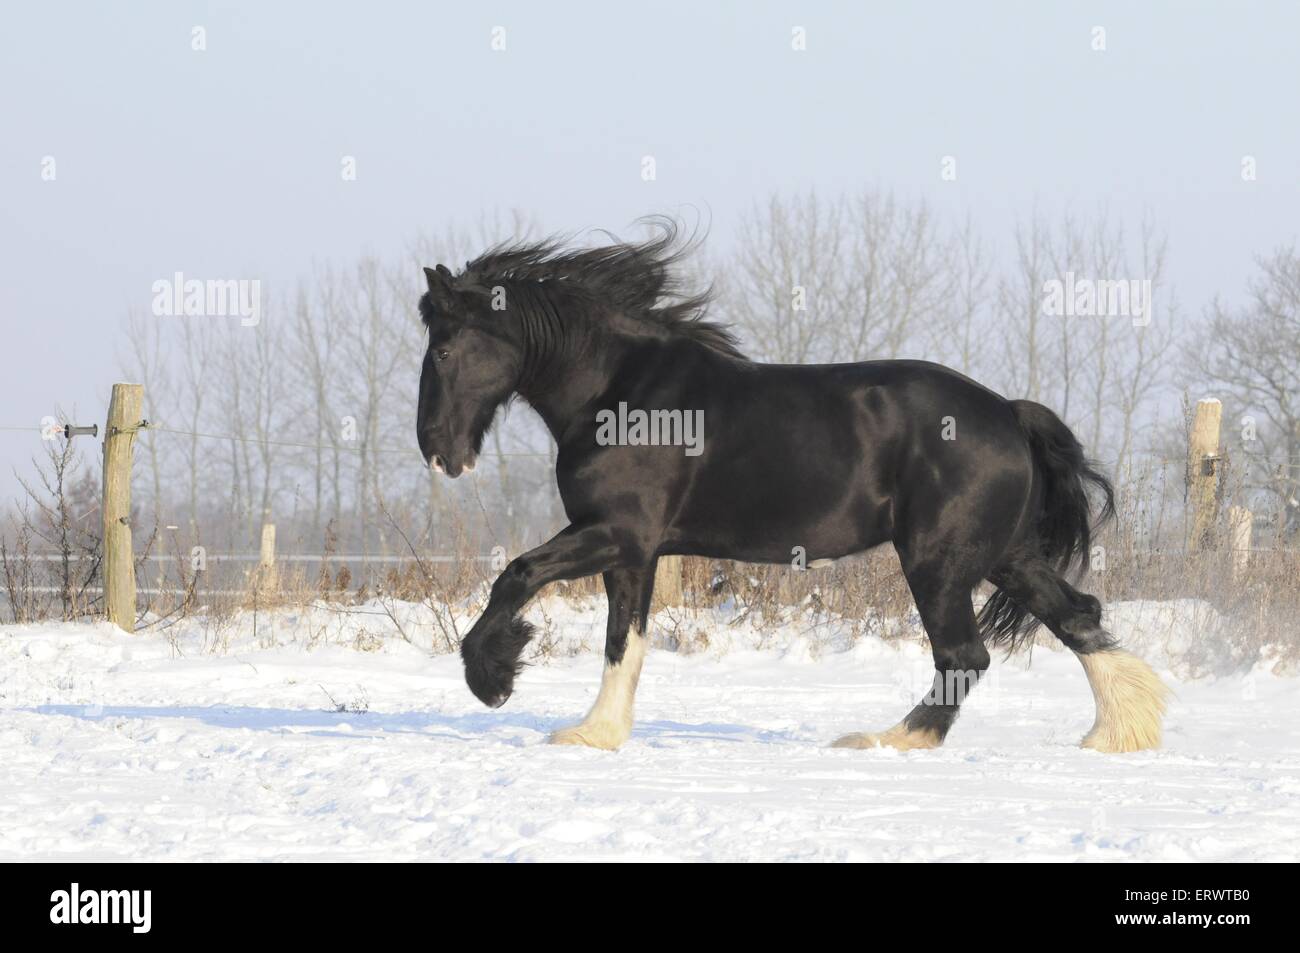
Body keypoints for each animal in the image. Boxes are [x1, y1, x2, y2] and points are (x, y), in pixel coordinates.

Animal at [415, 221, 1169, 754]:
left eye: (445, 347)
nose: (437, 451)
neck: (621, 390)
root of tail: (1010, 413)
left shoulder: (613, 532)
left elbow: (518, 574)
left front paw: (493, 677)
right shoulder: (636, 550)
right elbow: (622, 641)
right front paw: (595, 731)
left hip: (939, 562)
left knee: (965, 654)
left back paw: (884, 740)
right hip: (1004, 556)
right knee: (1077, 615)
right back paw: (1118, 732)